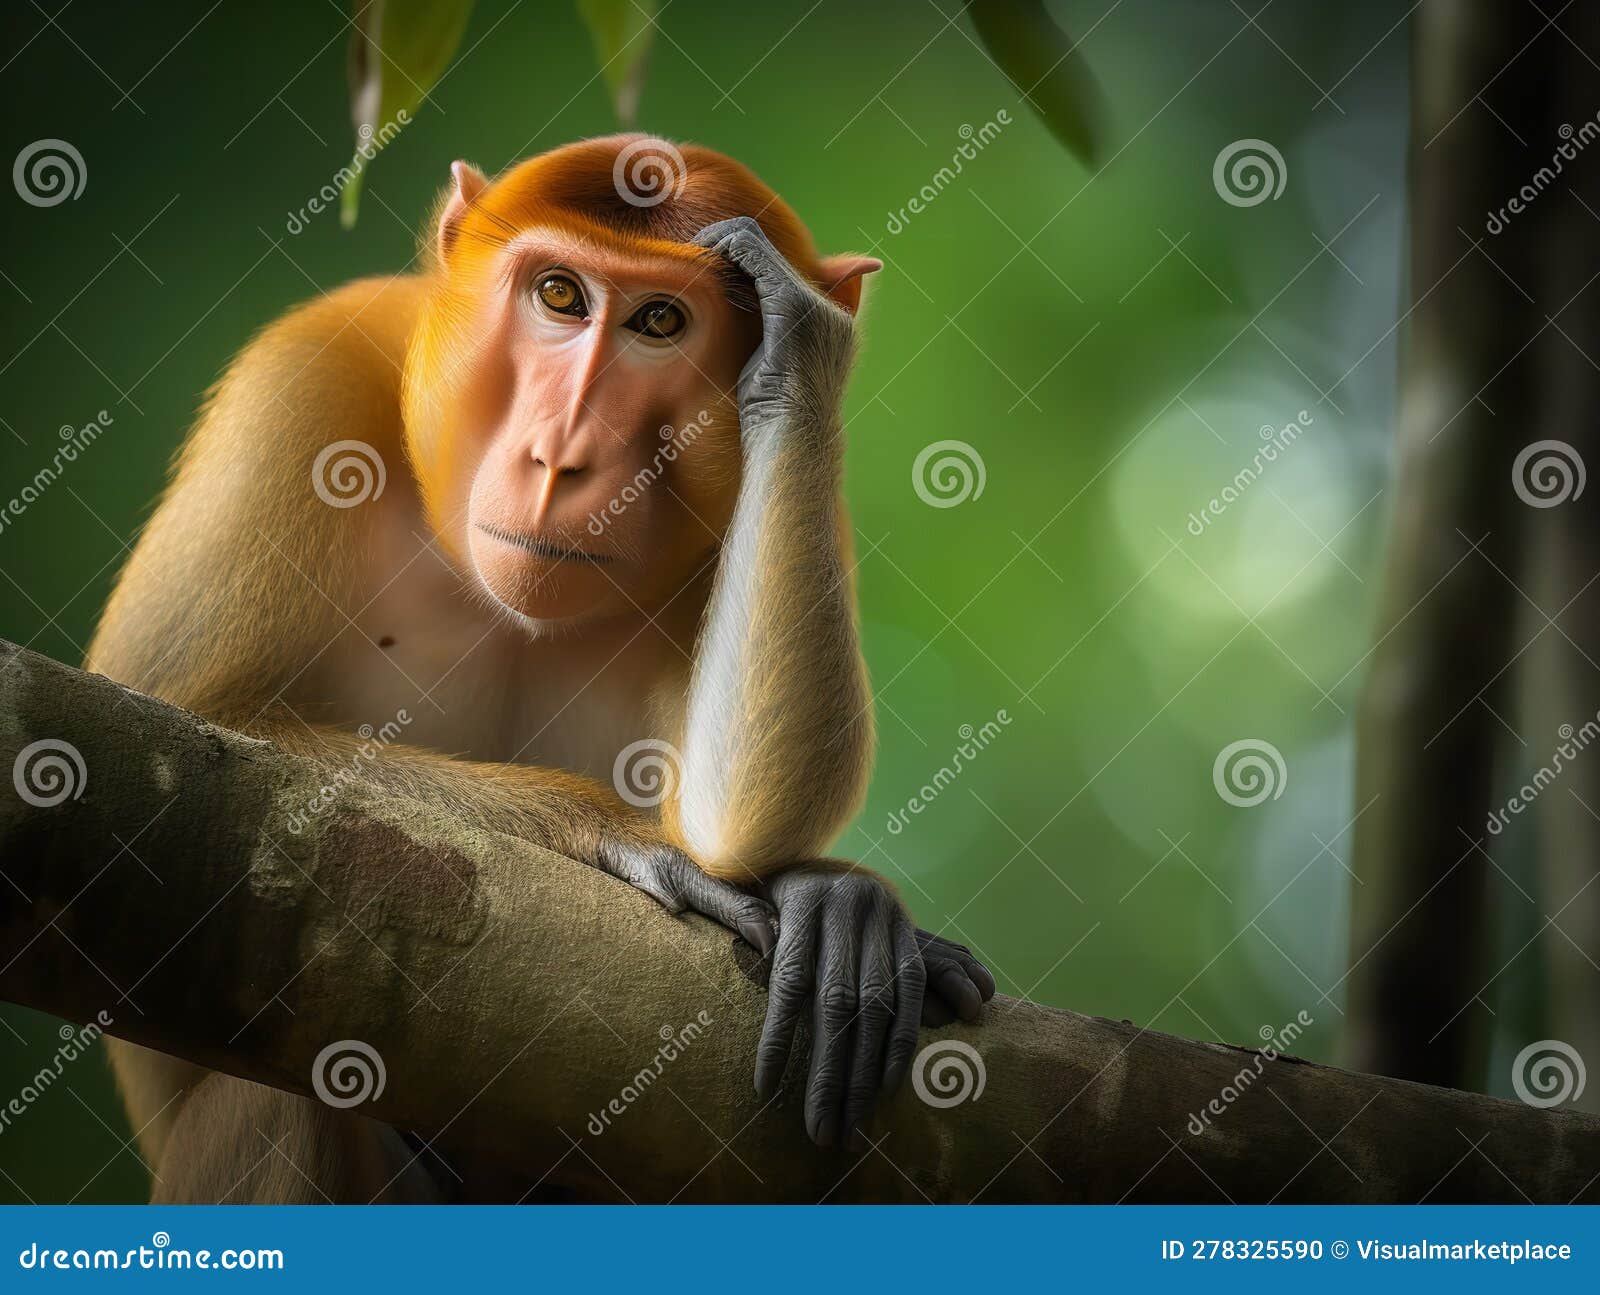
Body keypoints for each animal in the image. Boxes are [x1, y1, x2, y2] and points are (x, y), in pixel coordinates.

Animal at [86, 135, 995, 1203]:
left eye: (659, 319)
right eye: (560, 294)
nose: (563, 455)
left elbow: (740, 816)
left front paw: (839, 898)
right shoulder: (308, 376)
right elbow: (181, 726)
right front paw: (636, 841)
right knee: (272, 1100)